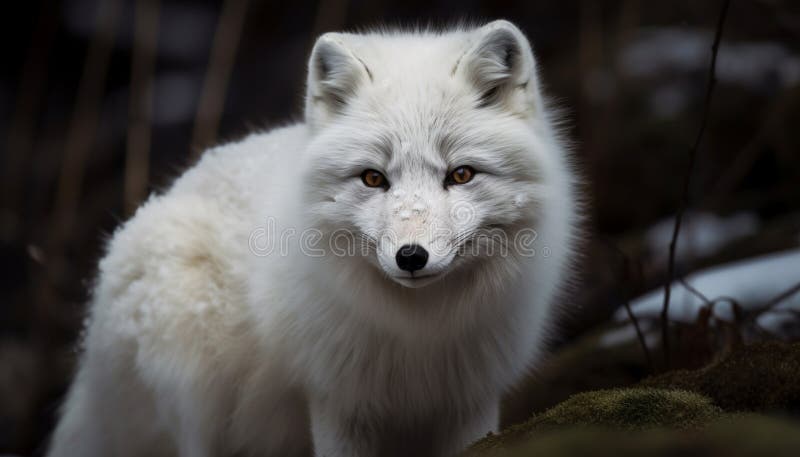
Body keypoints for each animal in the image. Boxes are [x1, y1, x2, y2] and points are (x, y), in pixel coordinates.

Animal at [47, 20, 579, 457]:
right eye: (373, 179)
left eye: (461, 174)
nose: (411, 256)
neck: (418, 334)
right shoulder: (335, 400)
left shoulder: (469, 401)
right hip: (195, 390)